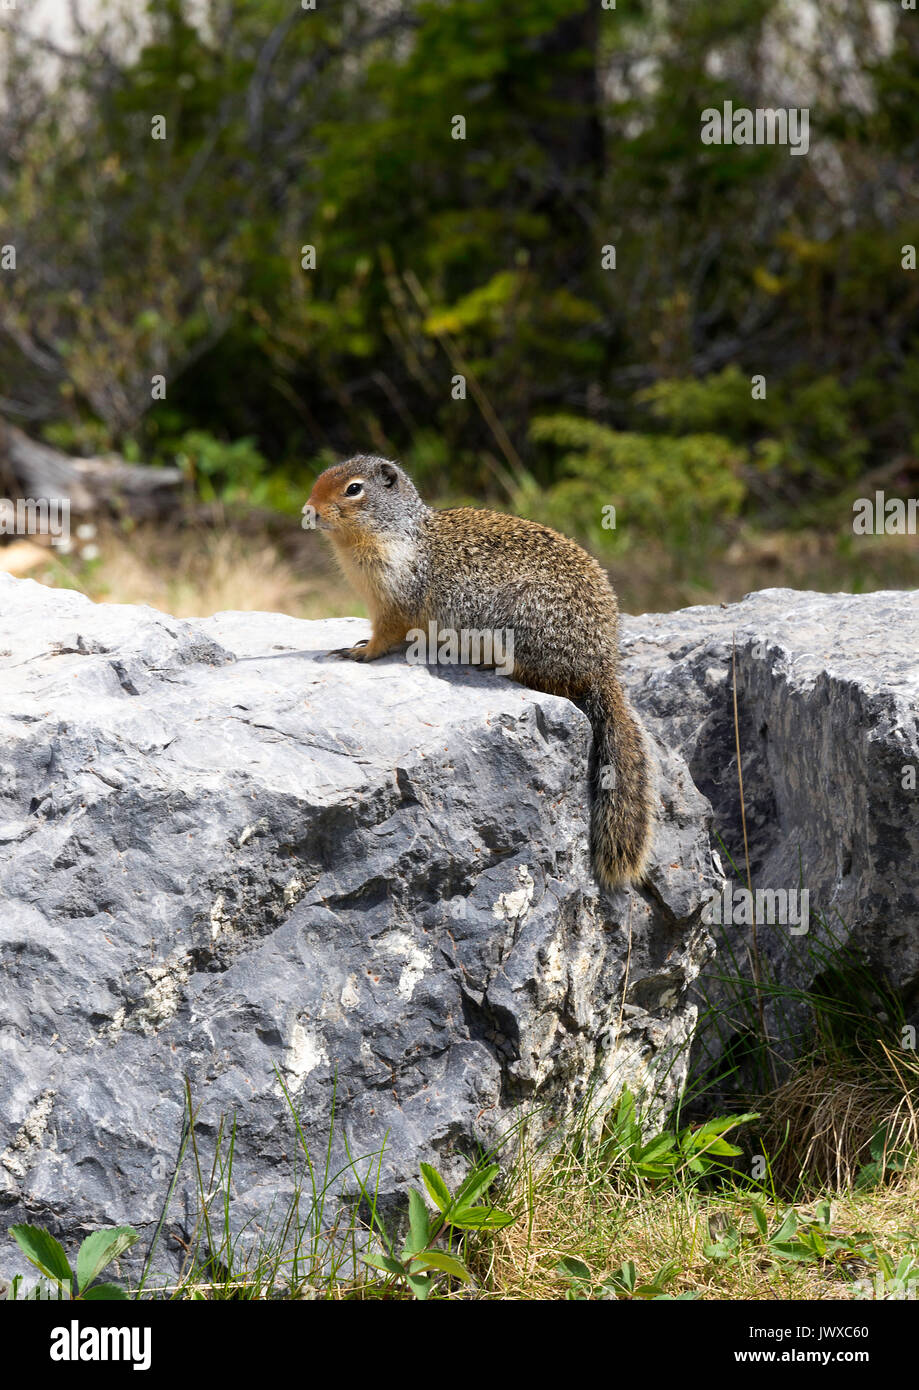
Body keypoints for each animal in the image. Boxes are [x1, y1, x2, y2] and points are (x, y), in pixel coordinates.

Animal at [306, 455, 652, 887]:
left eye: (353, 488)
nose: (309, 511)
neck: (397, 532)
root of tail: (603, 664)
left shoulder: (396, 595)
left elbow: (387, 633)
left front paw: (360, 652)